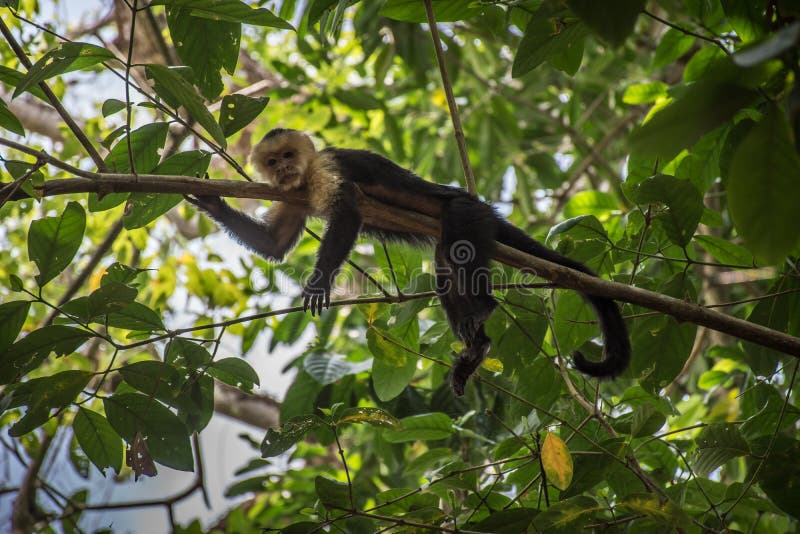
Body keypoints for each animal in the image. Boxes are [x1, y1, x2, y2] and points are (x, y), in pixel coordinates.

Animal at [185, 128, 630, 395]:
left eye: (290, 153)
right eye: (273, 162)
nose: (284, 168)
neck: (305, 176)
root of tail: (481, 204)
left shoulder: (325, 168)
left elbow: (347, 213)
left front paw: (319, 283)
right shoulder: (292, 193)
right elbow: (275, 245)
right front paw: (211, 202)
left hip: (468, 211)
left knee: (458, 243)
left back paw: (484, 308)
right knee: (446, 268)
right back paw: (477, 347)